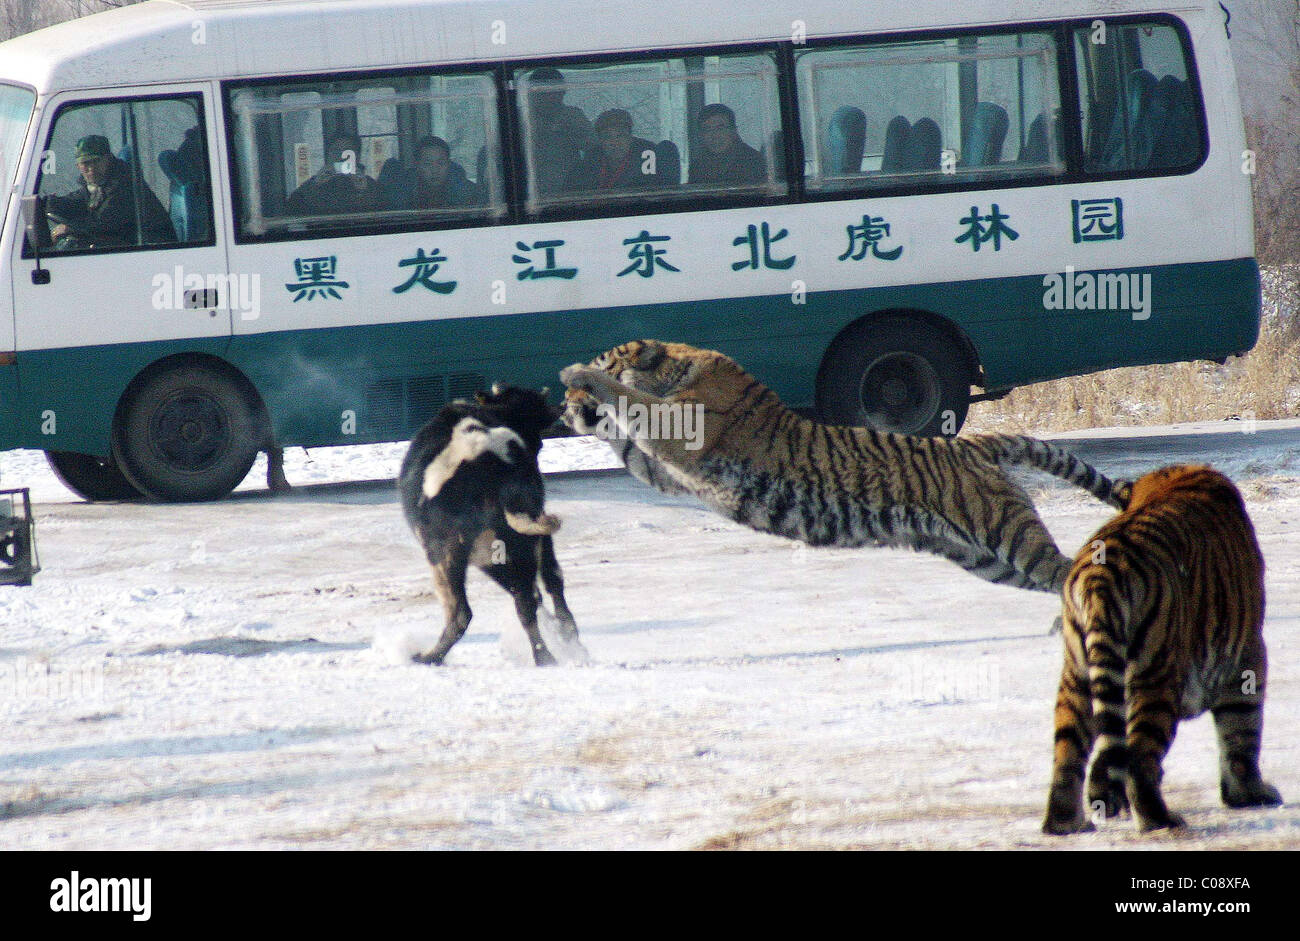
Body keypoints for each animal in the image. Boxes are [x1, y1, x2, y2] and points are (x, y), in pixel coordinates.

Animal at [558, 339, 1132, 594]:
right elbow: (628, 443)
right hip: (986, 558)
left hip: (1010, 536)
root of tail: (974, 446)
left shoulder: (681, 432)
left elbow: (628, 399)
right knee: (1057, 577)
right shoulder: (669, 469)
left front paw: (578, 371)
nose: (561, 409)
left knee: (1067, 570)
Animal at [1042, 464, 1281, 834]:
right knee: (1139, 759)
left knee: (1069, 751)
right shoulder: (1248, 653)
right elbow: (1242, 731)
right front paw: (1249, 795)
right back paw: (1160, 820)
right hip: (1155, 673)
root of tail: (1099, 575)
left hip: (1077, 674)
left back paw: (1066, 823)